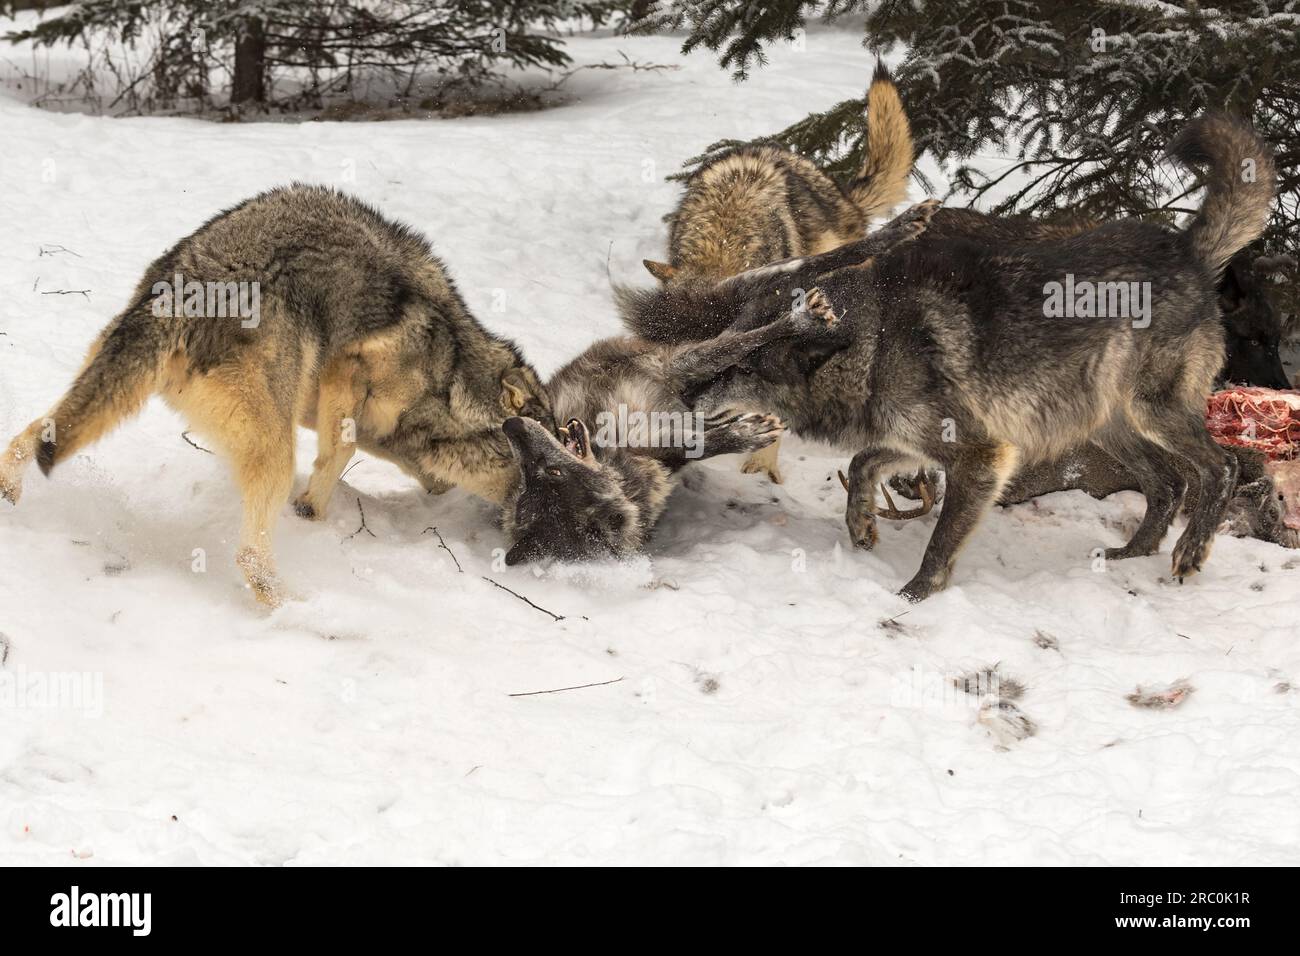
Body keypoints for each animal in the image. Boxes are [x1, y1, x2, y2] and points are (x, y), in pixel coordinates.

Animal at [0, 185, 552, 605]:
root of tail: (184, 284)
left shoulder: (344, 415)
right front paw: (312, 511)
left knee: (29, 434)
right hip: (274, 448)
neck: (454, 369)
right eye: (547, 455)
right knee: (249, 556)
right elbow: (342, 450)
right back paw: (299, 612)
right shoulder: (348, 370)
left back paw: (8, 490)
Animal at [501, 202, 940, 565]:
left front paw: (799, 324)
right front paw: (744, 433)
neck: (615, 452)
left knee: (811, 267)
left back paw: (901, 228)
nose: (511, 426)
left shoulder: (675, 366)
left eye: (546, 473)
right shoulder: (671, 434)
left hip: (744, 294)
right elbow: (703, 438)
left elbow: (741, 344)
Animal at [634, 114, 1276, 601]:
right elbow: (864, 462)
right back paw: (1132, 555)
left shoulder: (981, 456)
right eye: (726, 345)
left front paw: (914, 595)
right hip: (1104, 424)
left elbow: (939, 541)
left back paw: (1189, 552)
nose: (682, 392)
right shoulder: (911, 436)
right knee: (1166, 483)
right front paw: (860, 526)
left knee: (1219, 467)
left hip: (1149, 413)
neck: (873, 343)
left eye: (741, 366)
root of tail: (1185, 249)